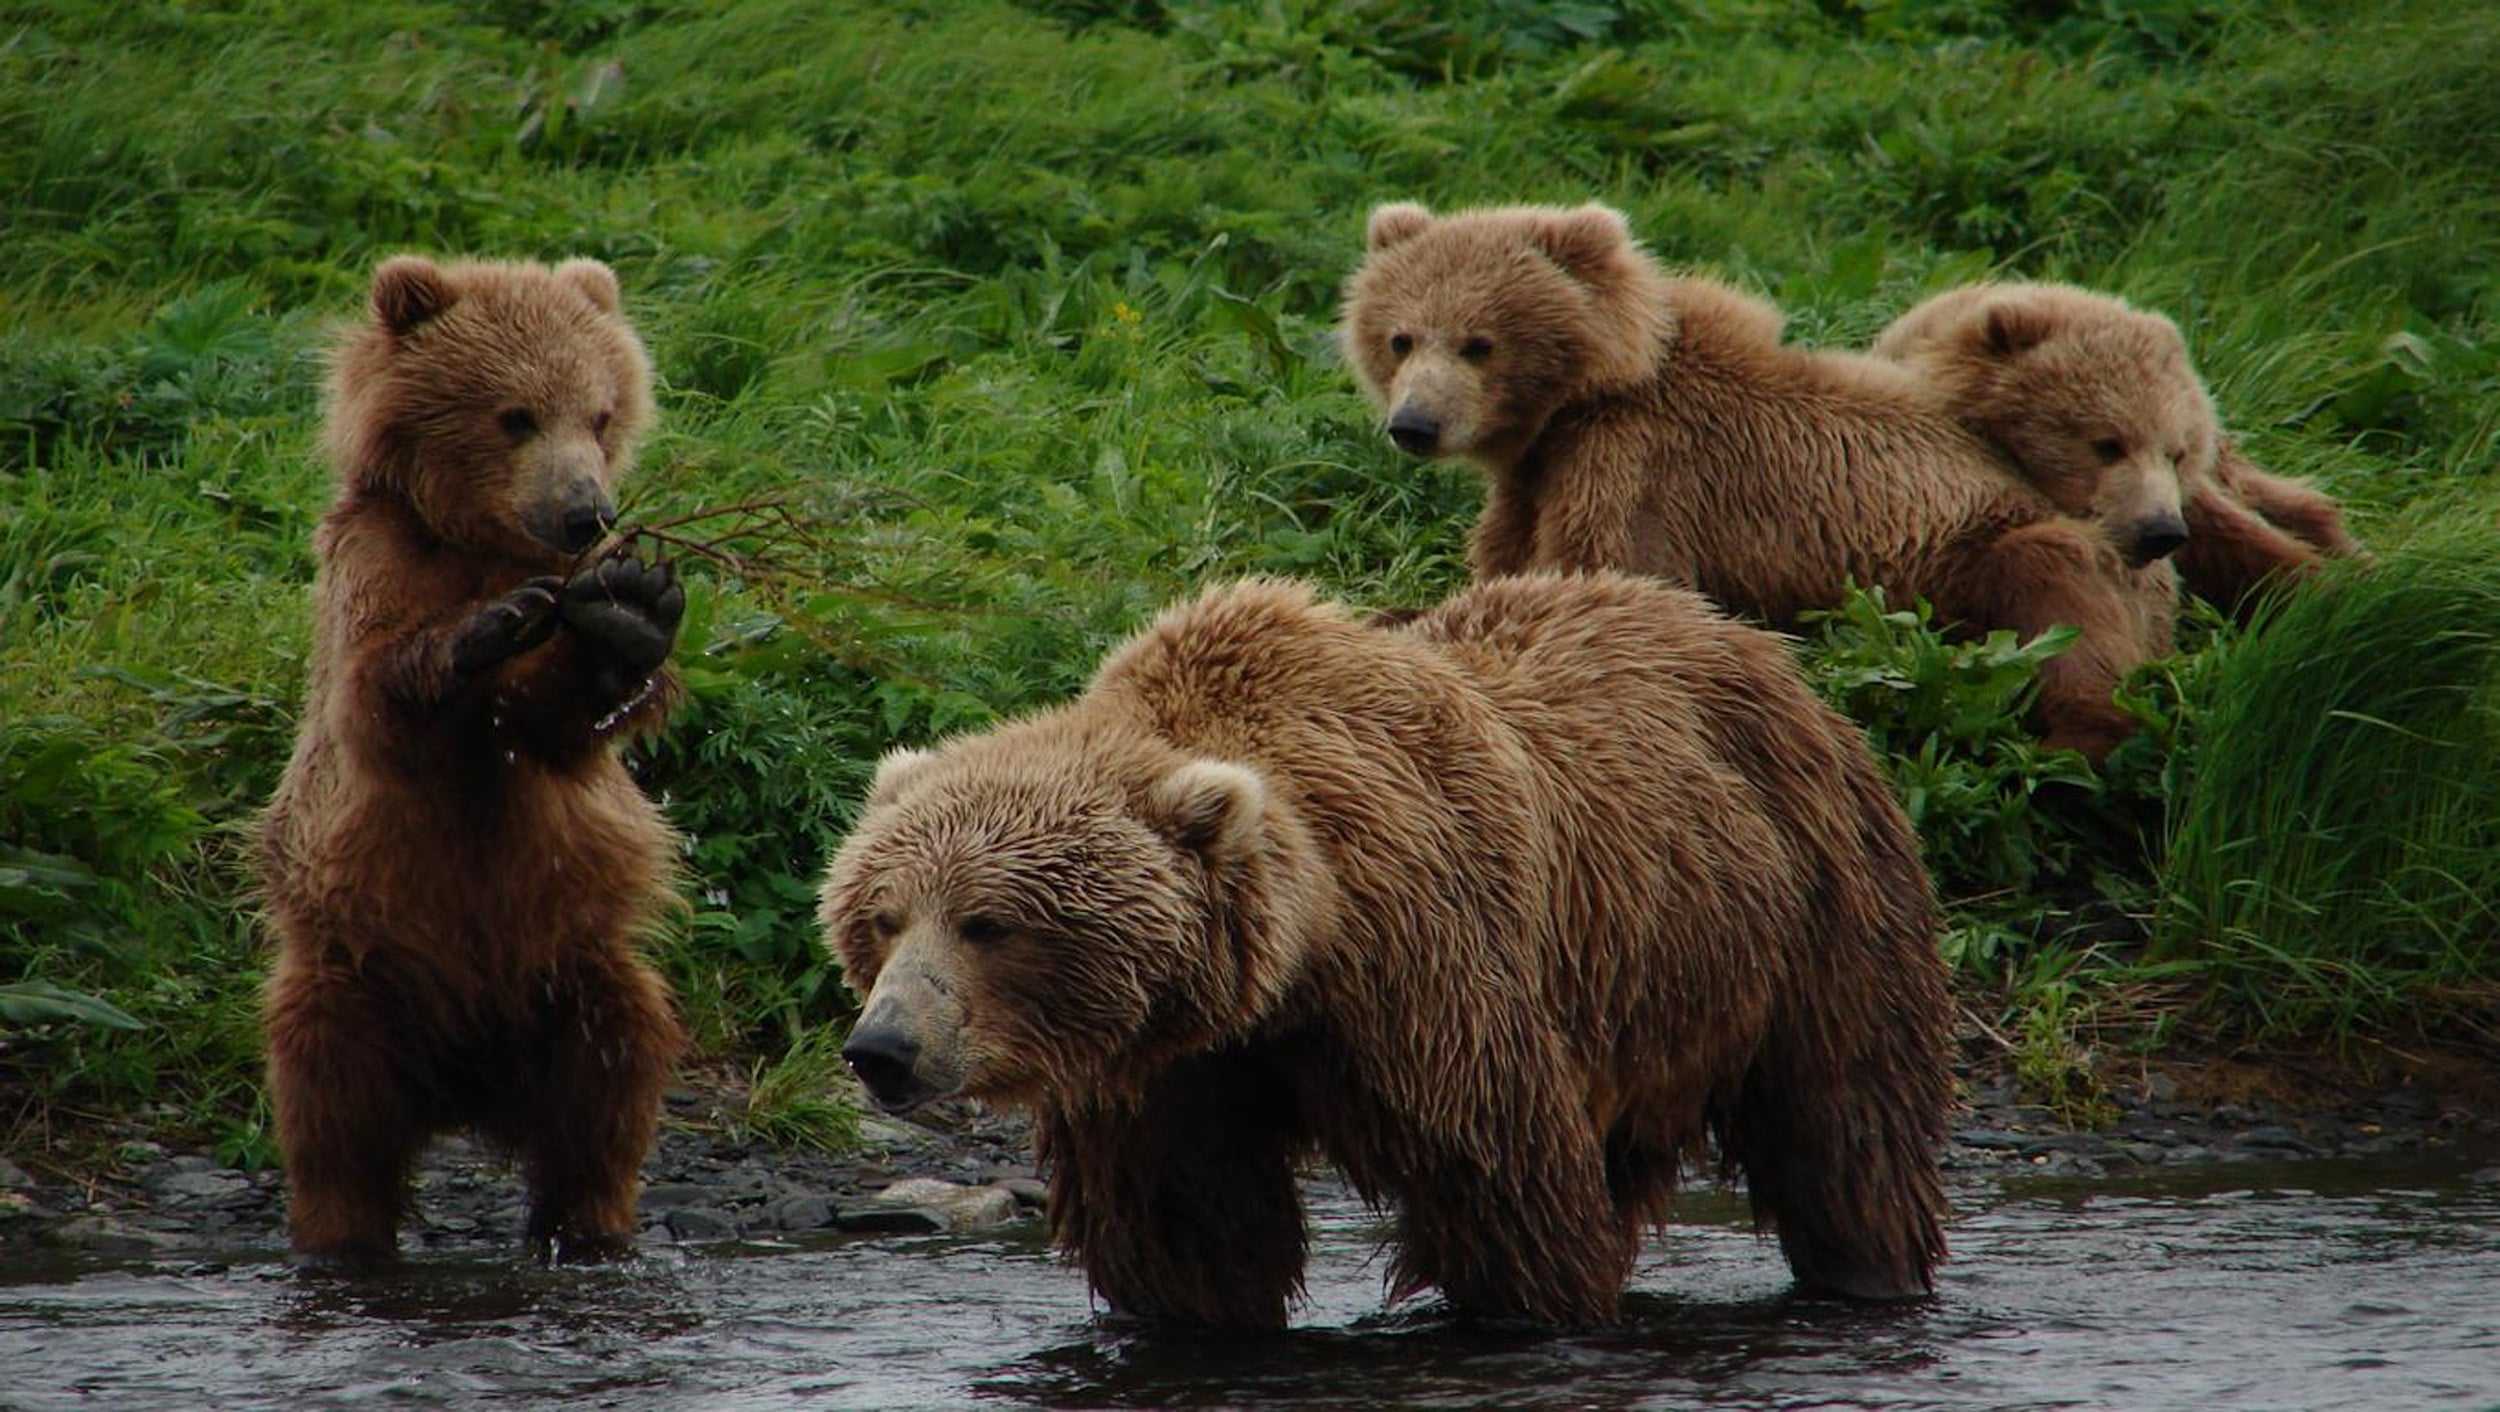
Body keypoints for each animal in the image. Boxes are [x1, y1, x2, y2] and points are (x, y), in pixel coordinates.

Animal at [255, 255, 689, 1265]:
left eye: (600, 413)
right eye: (516, 414)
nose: (586, 512)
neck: (479, 538)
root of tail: (466, 1086)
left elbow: (563, 724)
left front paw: (631, 610)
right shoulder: (375, 563)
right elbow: (381, 696)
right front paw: (483, 631)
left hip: (577, 975)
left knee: (610, 1092)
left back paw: (591, 1227)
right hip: (353, 974)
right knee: (331, 1112)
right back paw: (342, 1236)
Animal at [820, 571, 1953, 1328]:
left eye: (988, 921)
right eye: (881, 915)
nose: (883, 1049)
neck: (1297, 964)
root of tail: (1746, 635)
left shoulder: (1430, 978)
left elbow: (1501, 1182)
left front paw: (1523, 1306)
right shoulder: (1169, 1071)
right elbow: (1185, 1228)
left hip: (1809, 899)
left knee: (1842, 1118)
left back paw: (1866, 1270)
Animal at [1337, 201, 2179, 762]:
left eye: (1479, 343)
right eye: (1400, 337)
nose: (1414, 424)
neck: (1581, 401)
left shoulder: (1639, 466)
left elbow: (1607, 579)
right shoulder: (1534, 478)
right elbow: (1506, 570)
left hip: (2000, 551)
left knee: (2058, 597)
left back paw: (2071, 742)